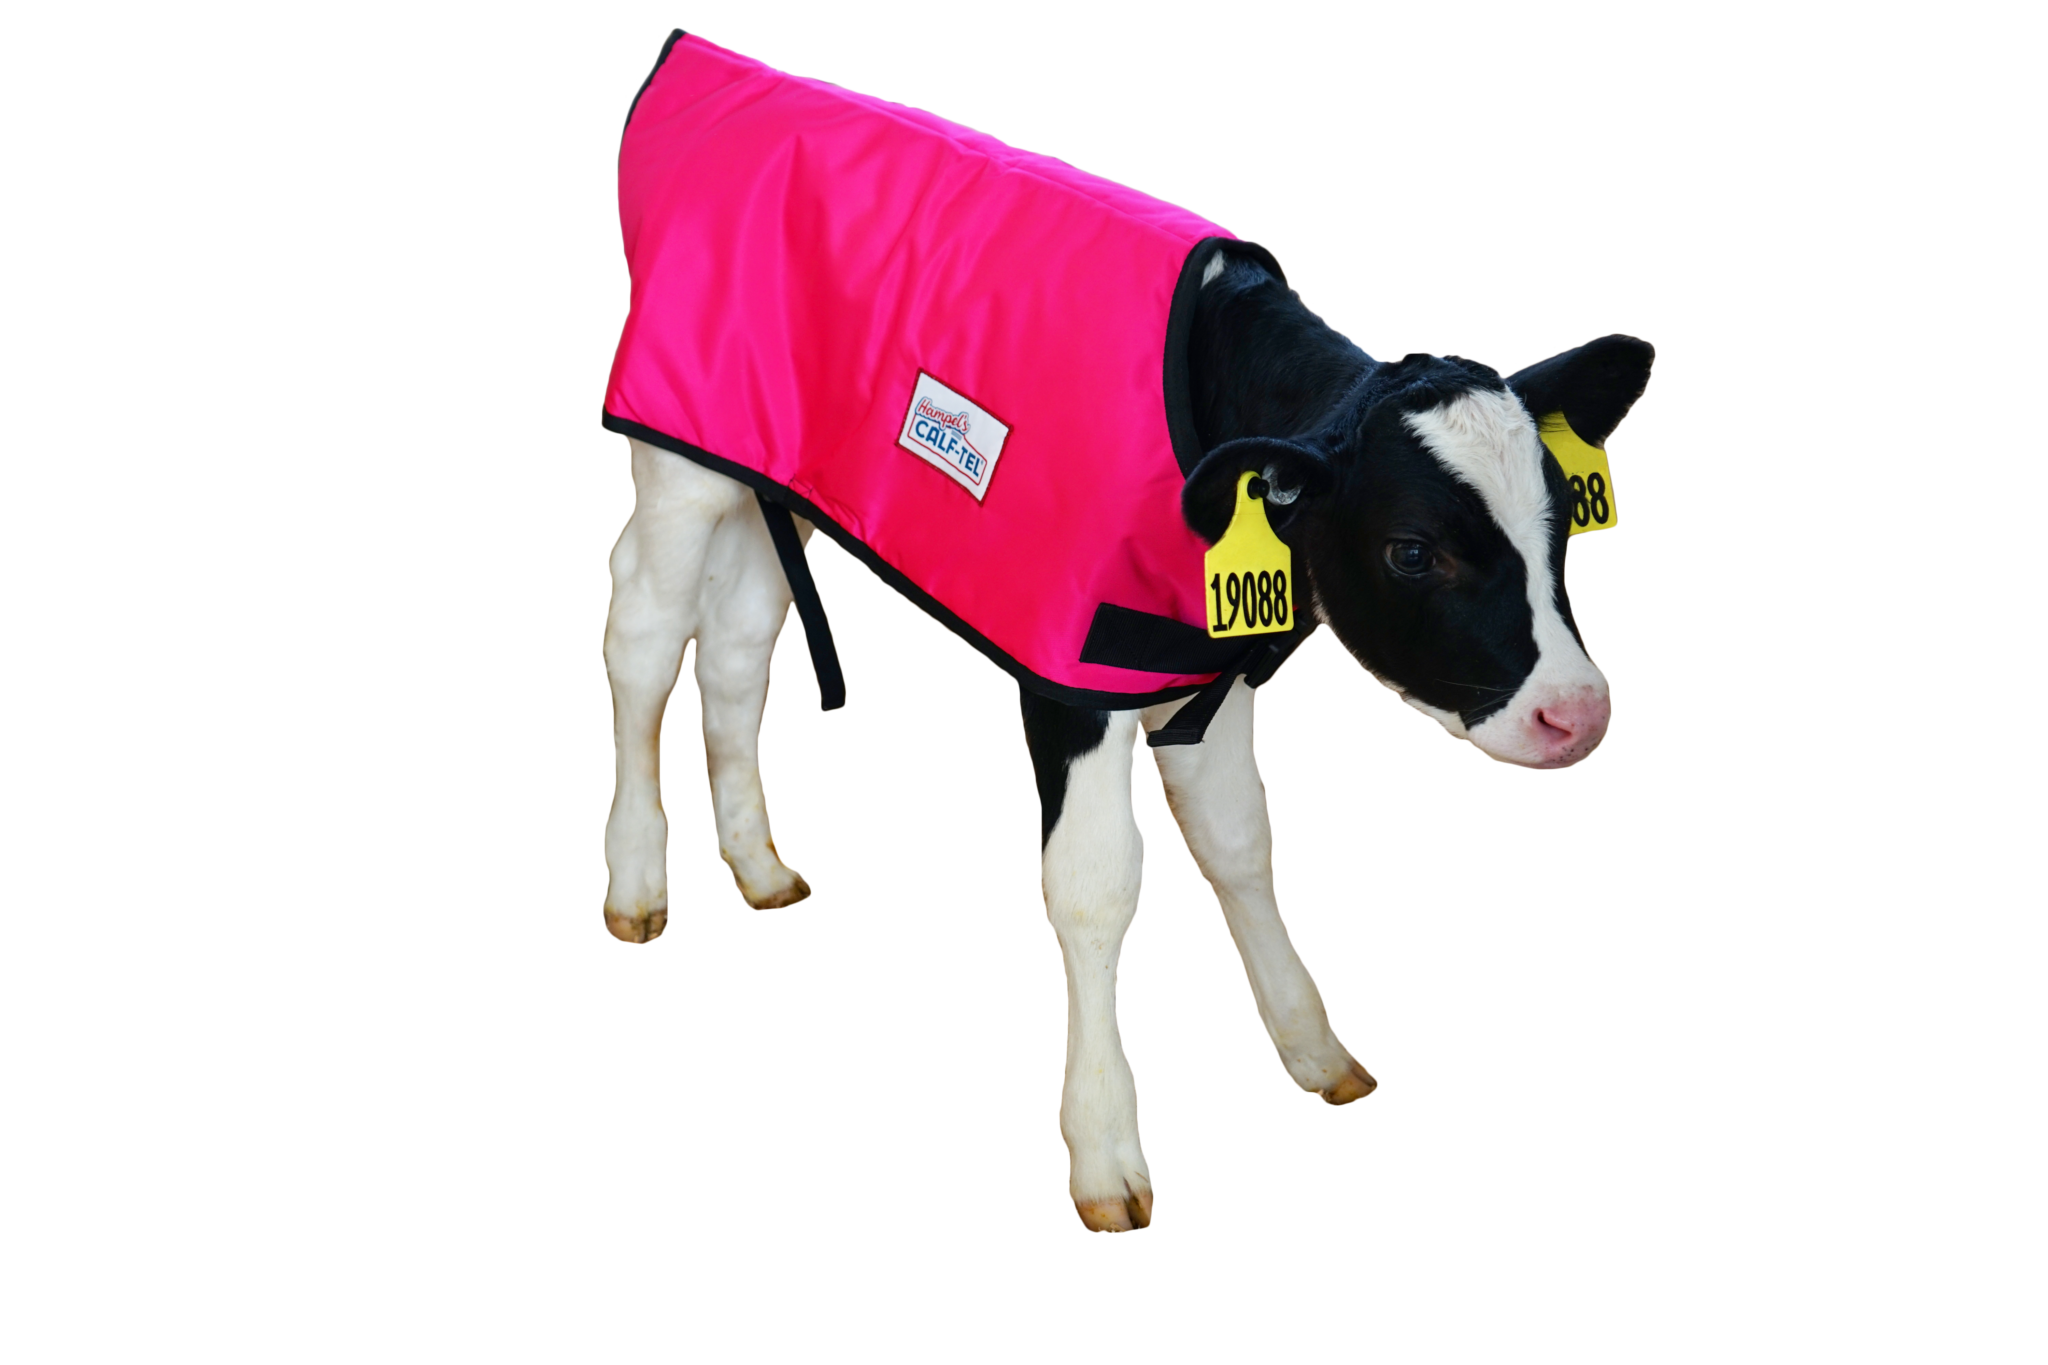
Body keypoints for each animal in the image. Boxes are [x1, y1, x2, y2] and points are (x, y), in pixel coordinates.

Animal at [602, 241, 1652, 1232]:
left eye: (1564, 518)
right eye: (1411, 549)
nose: (1578, 710)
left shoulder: (1206, 661)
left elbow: (1239, 844)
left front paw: (1311, 1048)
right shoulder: (1075, 675)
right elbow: (1095, 888)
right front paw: (1105, 1153)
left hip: (753, 477)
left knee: (735, 645)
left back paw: (756, 865)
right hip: (680, 471)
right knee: (643, 641)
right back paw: (636, 886)